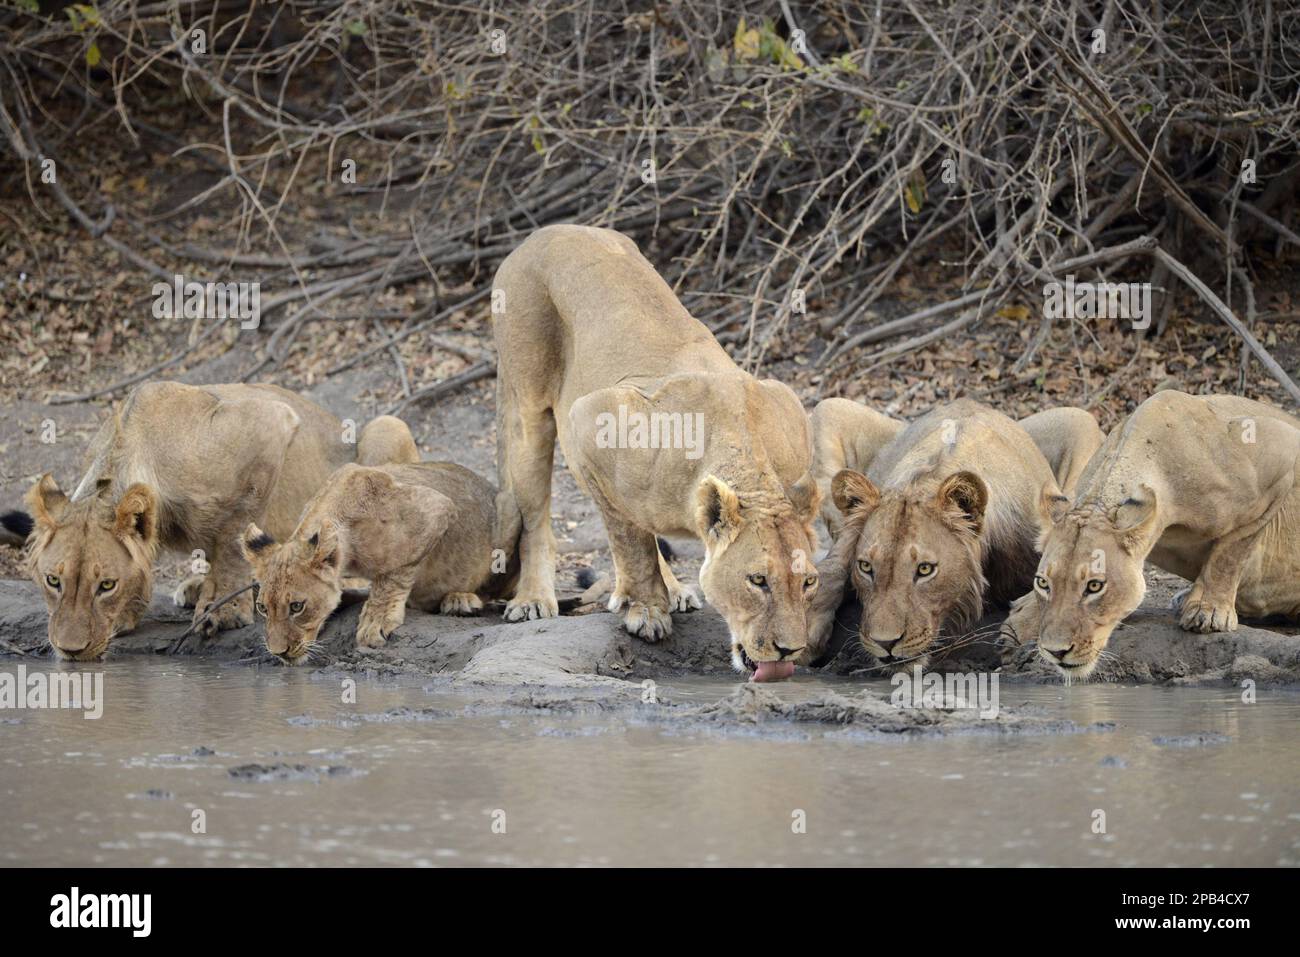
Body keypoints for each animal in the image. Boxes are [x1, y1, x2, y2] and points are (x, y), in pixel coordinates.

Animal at [19, 381, 417, 660]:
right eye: (53, 581)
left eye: (106, 585)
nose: (70, 651)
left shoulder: (270, 423)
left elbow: (234, 536)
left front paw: (223, 610)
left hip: (388, 426)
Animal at [239, 462, 519, 664]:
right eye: (262, 608)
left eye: (297, 606)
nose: (278, 652)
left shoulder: (435, 509)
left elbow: (394, 572)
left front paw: (376, 620)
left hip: (510, 513)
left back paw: (460, 600)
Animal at [491, 224, 822, 681]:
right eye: (757, 581)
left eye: (808, 582)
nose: (790, 649)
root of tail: (544, 232)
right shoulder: (590, 420)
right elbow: (630, 541)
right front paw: (647, 611)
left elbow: (637, 534)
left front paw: (654, 598)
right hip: (529, 401)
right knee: (538, 514)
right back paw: (534, 600)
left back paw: (675, 590)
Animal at [807, 398, 1103, 669]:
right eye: (866, 567)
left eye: (925, 569)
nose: (885, 643)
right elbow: (837, 560)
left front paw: (1022, 628)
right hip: (829, 408)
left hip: (1080, 420)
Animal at [1016, 390, 1300, 679]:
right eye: (1043, 583)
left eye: (1094, 586)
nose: (1056, 651)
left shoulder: (1281, 449)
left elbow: (1231, 553)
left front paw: (1208, 611)